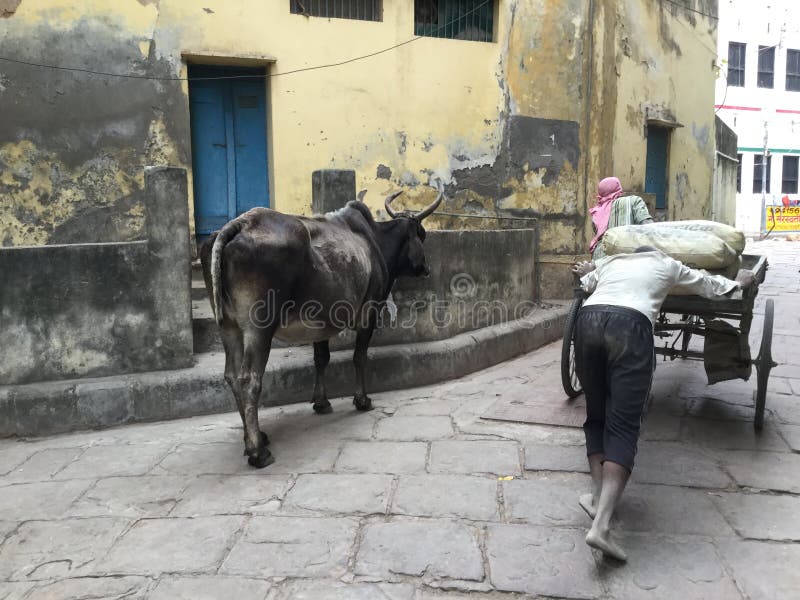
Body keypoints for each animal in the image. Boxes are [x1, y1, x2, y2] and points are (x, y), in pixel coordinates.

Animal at [200, 183, 444, 468]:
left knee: (231, 376)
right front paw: (362, 400)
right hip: (258, 328)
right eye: (421, 234)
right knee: (249, 379)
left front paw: (321, 402)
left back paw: (256, 436)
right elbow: (359, 357)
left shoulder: (319, 323)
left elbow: (321, 358)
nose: (425, 268)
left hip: (228, 327)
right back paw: (257, 451)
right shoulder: (369, 312)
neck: (375, 242)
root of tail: (241, 223)